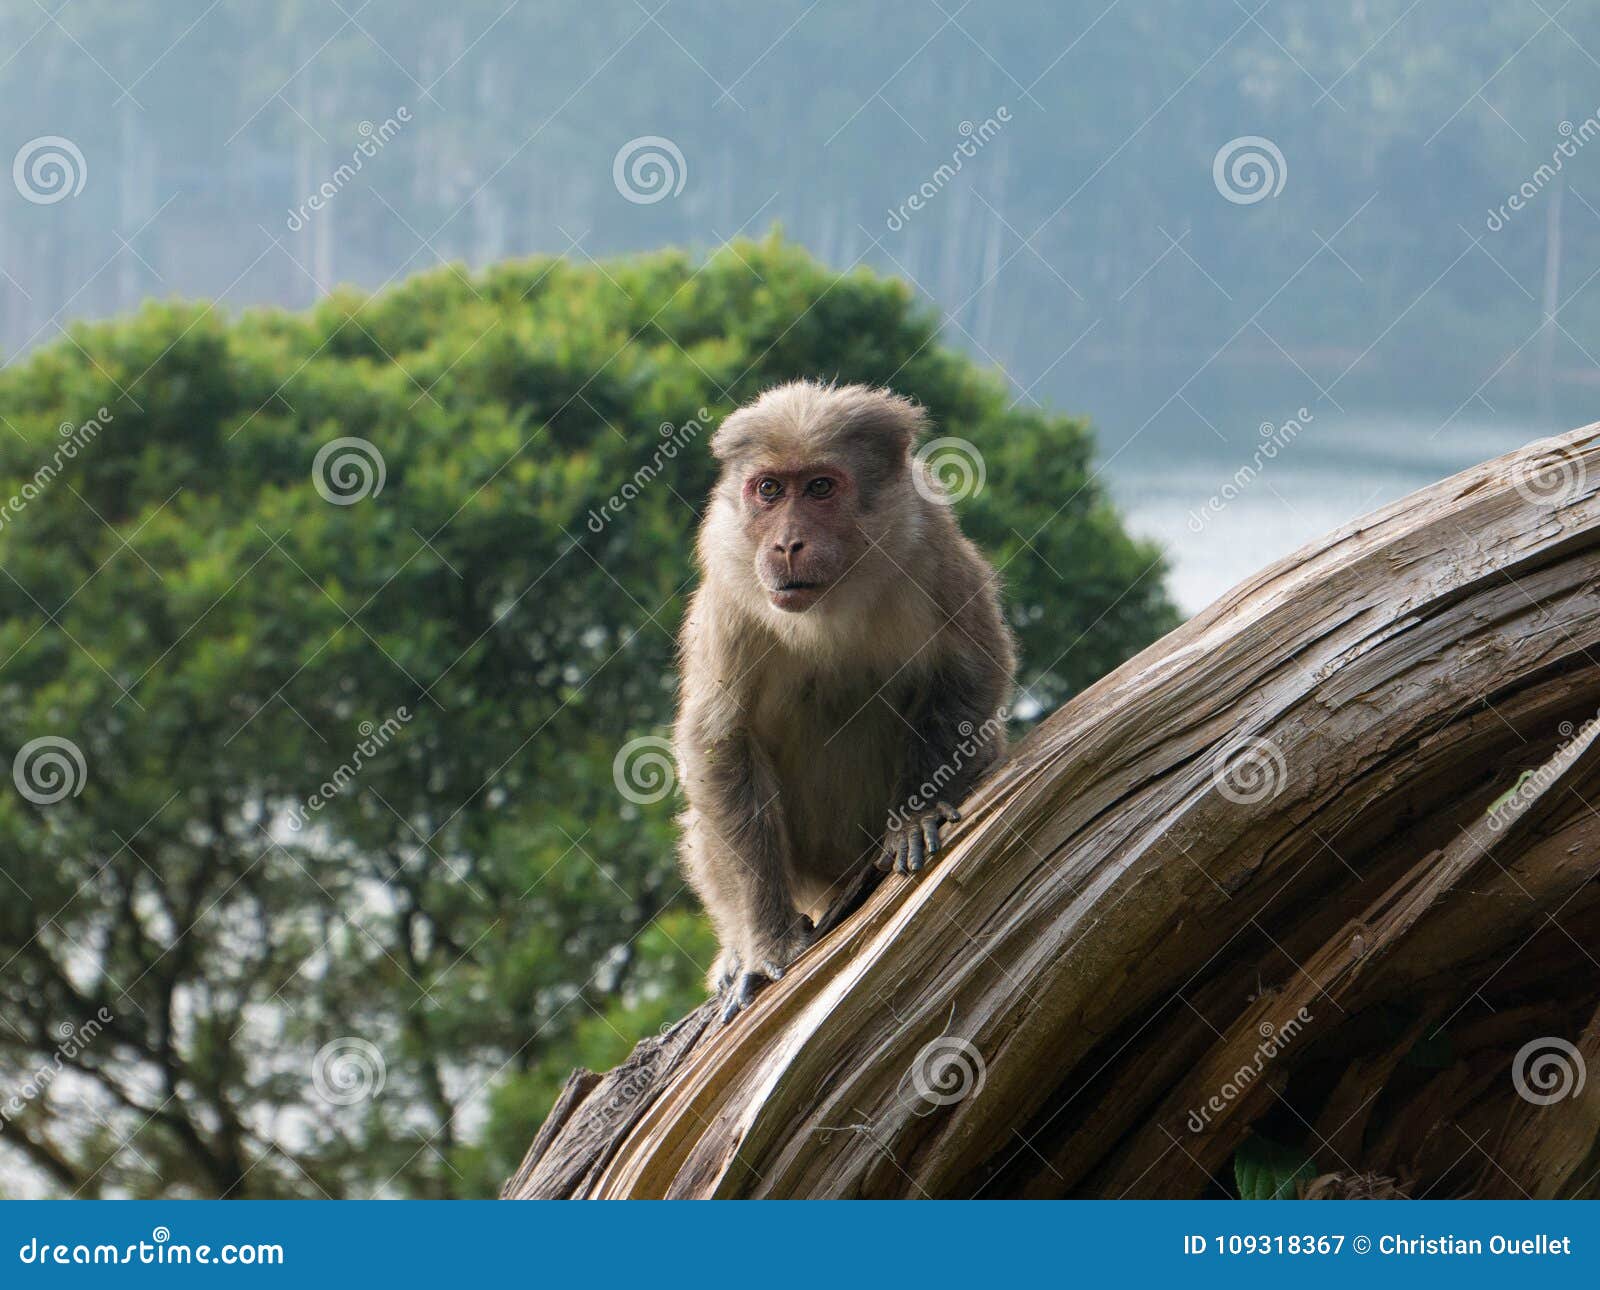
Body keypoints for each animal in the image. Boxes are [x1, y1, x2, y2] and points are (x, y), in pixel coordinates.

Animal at [673, 381, 1015, 1022]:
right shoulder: (730, 592)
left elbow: (973, 668)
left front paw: (915, 816)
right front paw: (764, 944)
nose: (786, 543)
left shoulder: (929, 542)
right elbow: (719, 741)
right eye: (769, 489)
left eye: (820, 488)